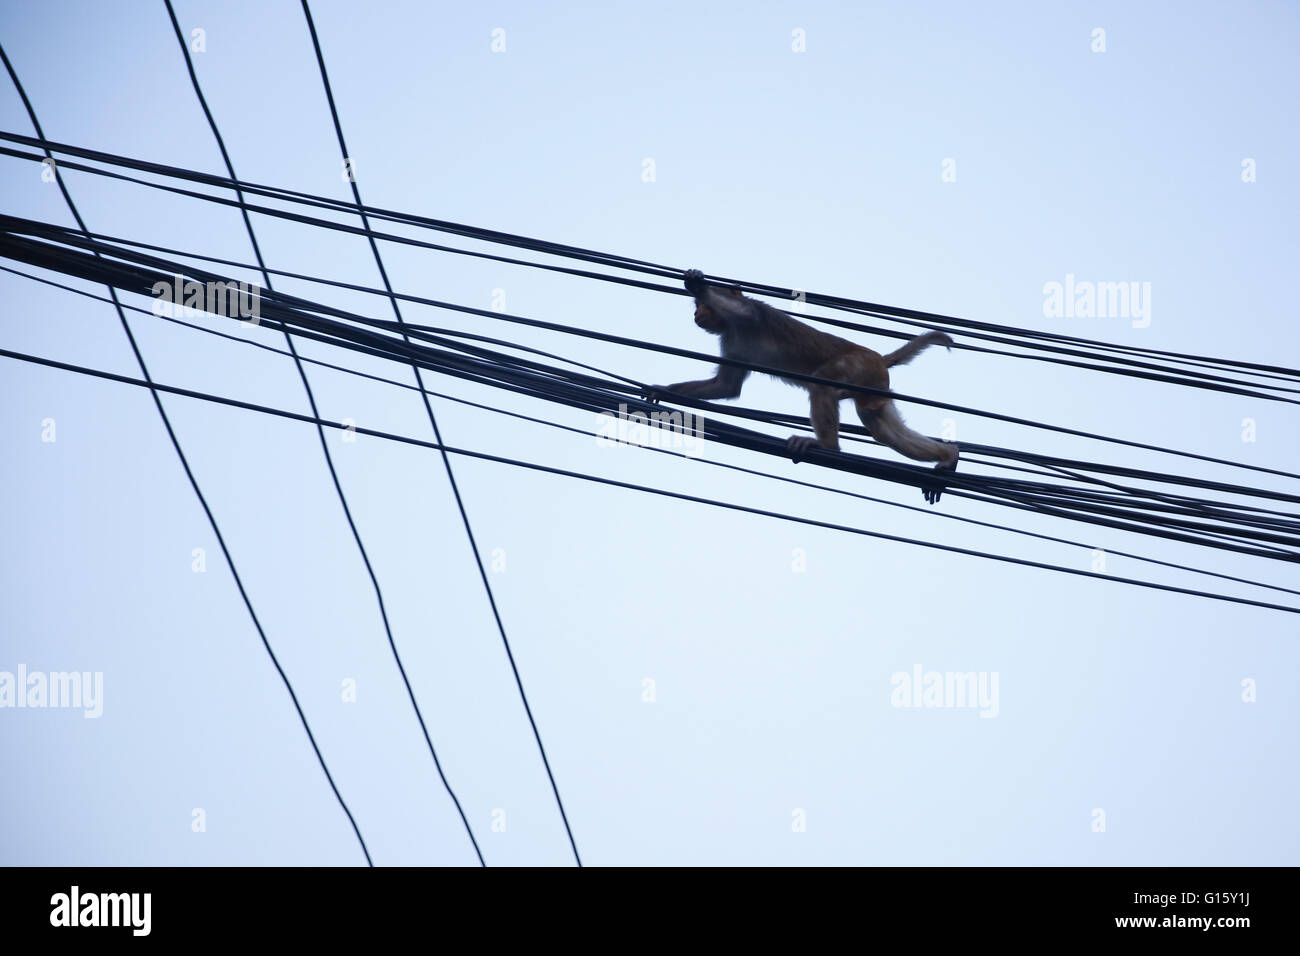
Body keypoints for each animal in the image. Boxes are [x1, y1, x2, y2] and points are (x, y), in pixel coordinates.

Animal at [648, 269, 959, 504]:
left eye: (704, 305)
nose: (696, 313)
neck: (732, 326)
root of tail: (879, 358)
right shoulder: (732, 342)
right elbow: (725, 386)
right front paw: (659, 392)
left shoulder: (749, 313)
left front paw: (696, 283)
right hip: (873, 387)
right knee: (881, 428)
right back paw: (949, 458)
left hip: (856, 365)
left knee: (821, 387)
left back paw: (828, 446)